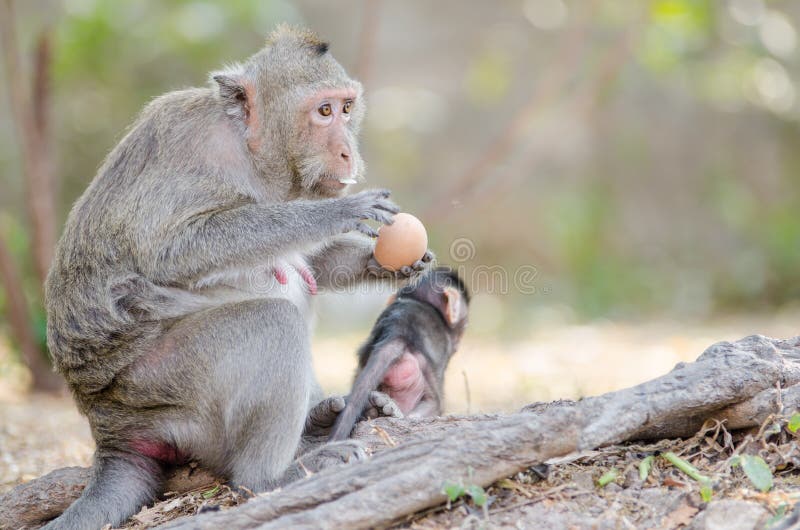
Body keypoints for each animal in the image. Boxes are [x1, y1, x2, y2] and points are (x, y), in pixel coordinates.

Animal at [42, 26, 432, 530]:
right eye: (323, 111)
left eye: (347, 108)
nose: (349, 151)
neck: (252, 153)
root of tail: (109, 430)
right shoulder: (189, 141)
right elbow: (172, 249)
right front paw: (340, 212)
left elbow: (315, 266)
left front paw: (391, 262)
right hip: (161, 387)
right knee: (272, 322)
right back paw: (272, 476)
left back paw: (322, 422)